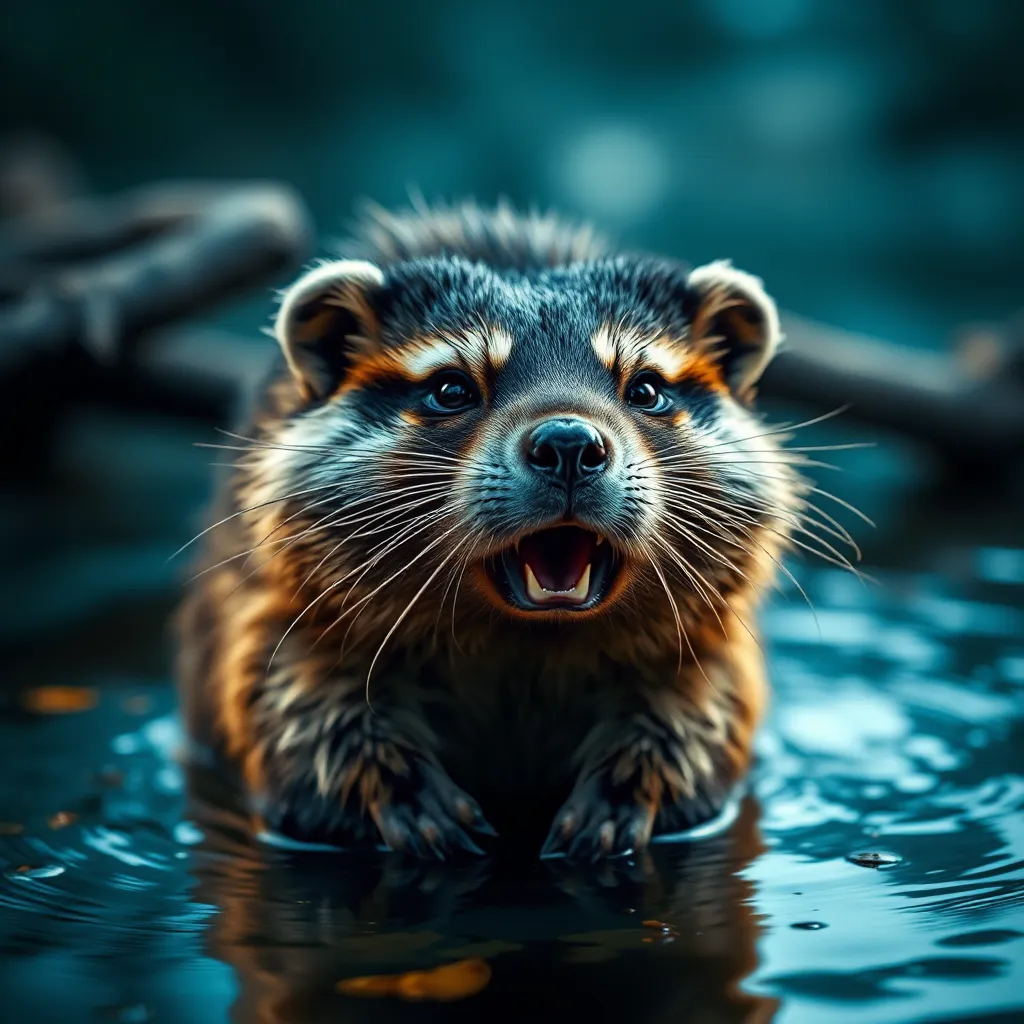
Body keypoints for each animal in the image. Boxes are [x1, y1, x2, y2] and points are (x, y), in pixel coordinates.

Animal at [177, 201, 813, 859]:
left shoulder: (707, 640)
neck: (528, 635)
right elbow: (295, 702)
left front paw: (635, 778)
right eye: (452, 388)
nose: (569, 444)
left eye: (645, 389)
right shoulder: (280, 605)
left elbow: (702, 709)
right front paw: (391, 779)